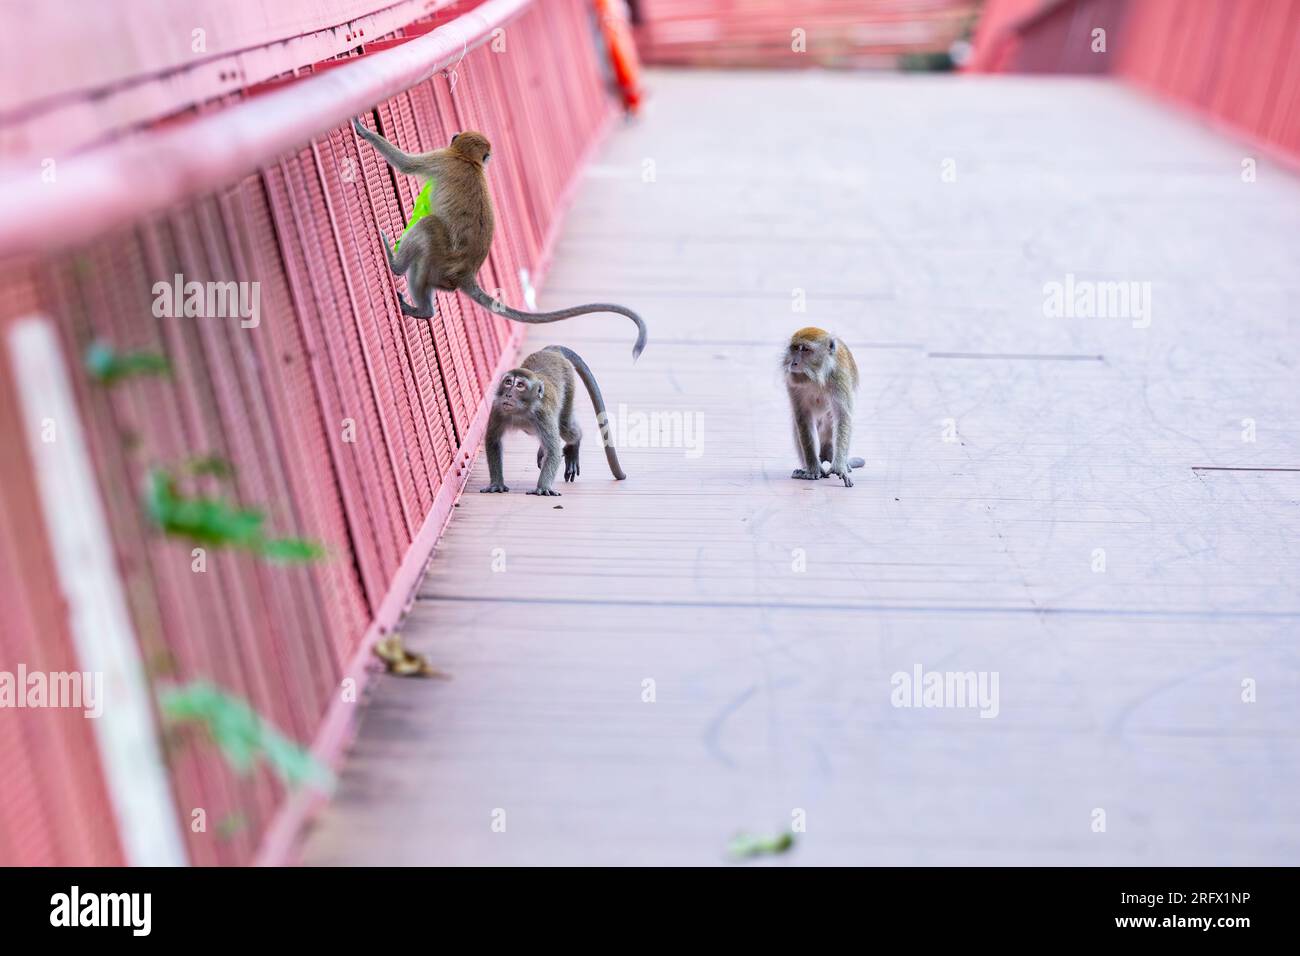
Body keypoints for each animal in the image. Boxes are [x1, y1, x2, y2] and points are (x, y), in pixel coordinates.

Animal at [352, 119, 647, 360]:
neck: (468, 160)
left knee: (429, 226)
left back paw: (400, 273)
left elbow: (405, 164)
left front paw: (363, 130)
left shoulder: (442, 158)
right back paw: (424, 308)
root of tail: (466, 274)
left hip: (439, 258)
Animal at [480, 345, 626, 497]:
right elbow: (493, 441)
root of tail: (551, 350)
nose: (508, 394)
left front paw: (543, 487)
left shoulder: (542, 414)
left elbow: (553, 449)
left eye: (520, 385)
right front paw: (496, 484)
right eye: (508, 382)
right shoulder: (497, 408)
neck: (522, 409)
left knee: (564, 427)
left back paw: (574, 445)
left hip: (569, 383)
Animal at [782, 327, 866, 487]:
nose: (794, 363)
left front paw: (839, 467)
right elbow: (802, 418)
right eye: (795, 348)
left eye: (806, 349)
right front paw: (813, 468)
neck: (815, 376)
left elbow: (842, 415)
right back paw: (806, 468)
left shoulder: (839, 376)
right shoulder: (792, 382)